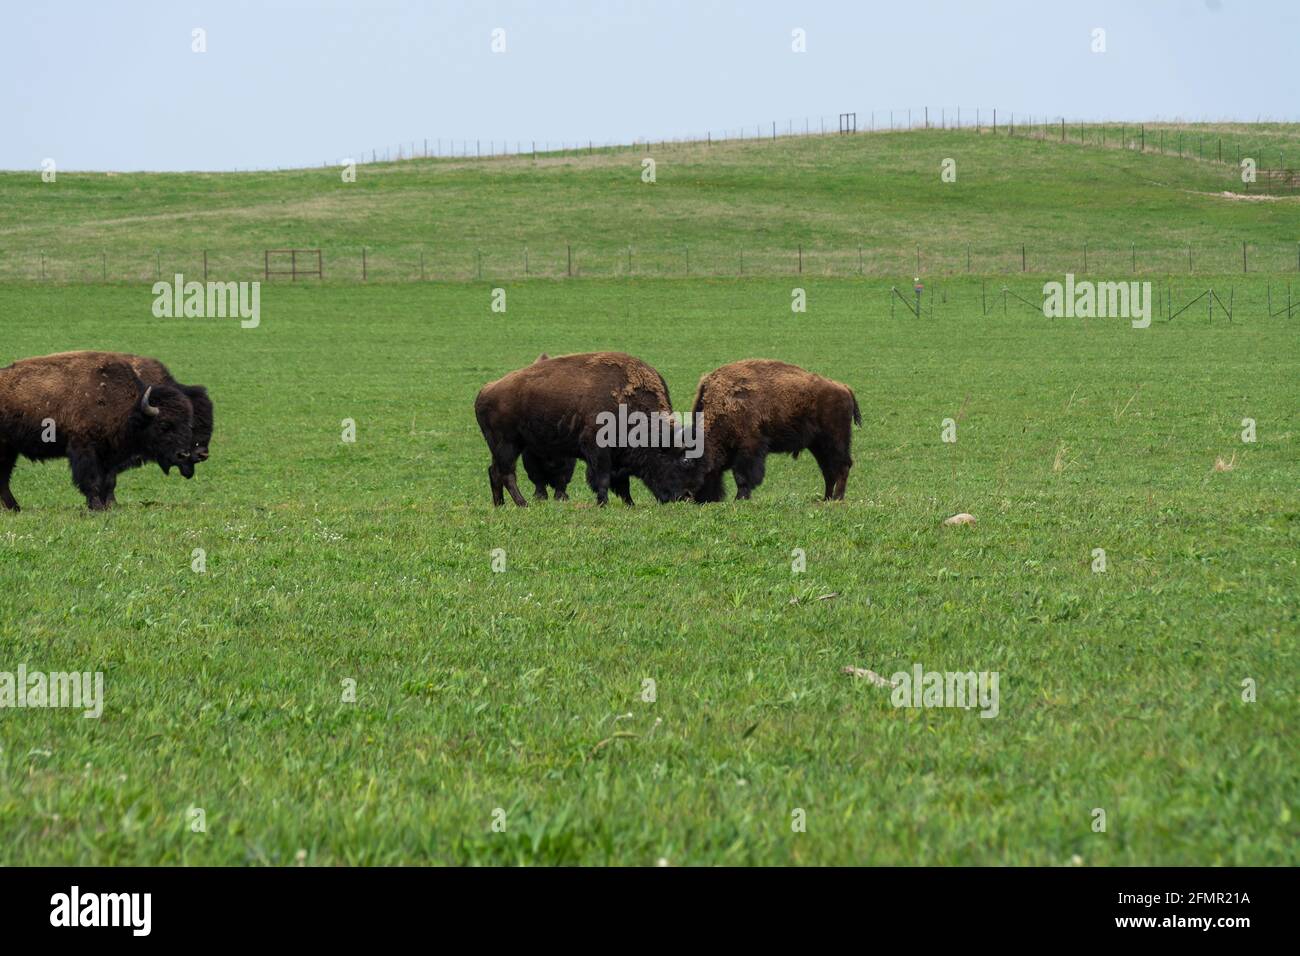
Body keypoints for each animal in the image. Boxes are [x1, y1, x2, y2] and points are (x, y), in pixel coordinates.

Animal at [0, 351, 202, 511]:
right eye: (164, 425)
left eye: (188, 424)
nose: (183, 454)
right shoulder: (85, 449)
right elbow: (91, 480)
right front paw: (96, 507)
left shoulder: (109, 454)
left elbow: (108, 481)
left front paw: (109, 506)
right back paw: (14, 508)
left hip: (10, 449)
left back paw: (14, 508)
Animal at [689, 359, 861, 501]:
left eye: (688, 462)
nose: (688, 497)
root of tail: (844, 388)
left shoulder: (749, 447)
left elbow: (742, 476)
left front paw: (740, 498)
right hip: (818, 446)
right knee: (829, 470)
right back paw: (827, 498)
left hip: (835, 441)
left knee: (842, 466)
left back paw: (837, 498)